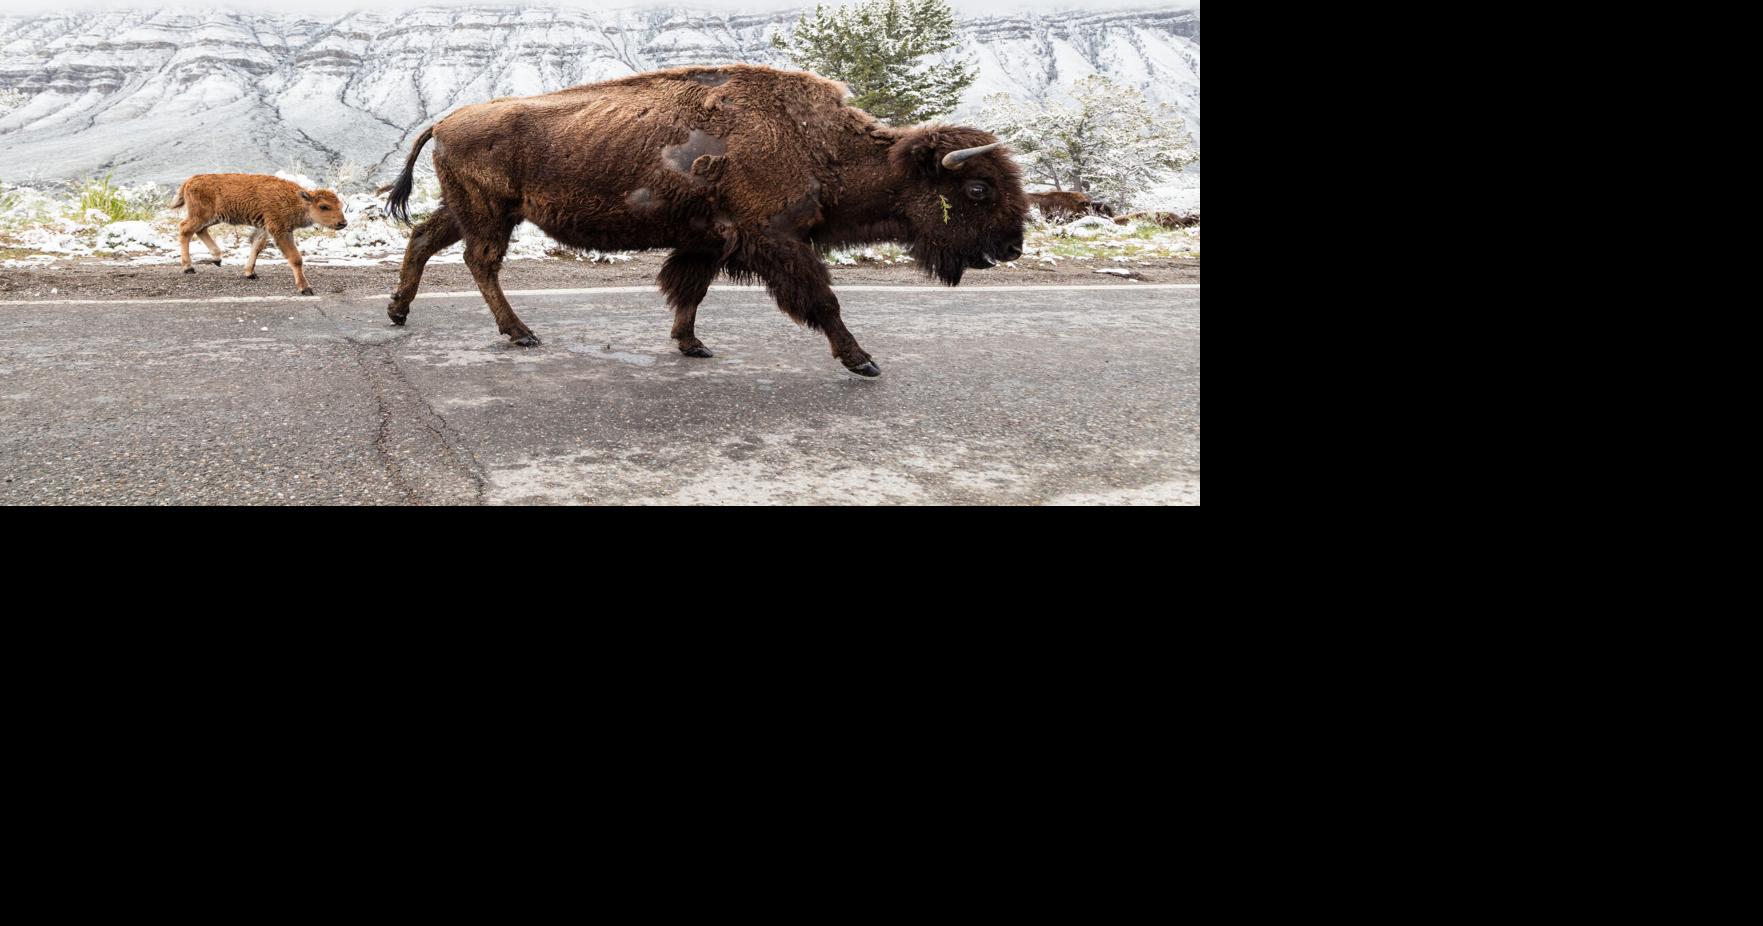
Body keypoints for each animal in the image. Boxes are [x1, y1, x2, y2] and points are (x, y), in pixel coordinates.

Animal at [382, 65, 1027, 376]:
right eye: (977, 188)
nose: (1013, 247)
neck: (816, 142)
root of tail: (443, 120)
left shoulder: (710, 242)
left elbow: (688, 291)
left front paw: (692, 345)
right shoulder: (777, 239)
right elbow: (823, 302)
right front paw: (863, 361)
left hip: (470, 210)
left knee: (425, 239)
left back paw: (398, 311)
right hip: (490, 214)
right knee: (480, 262)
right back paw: (520, 333)